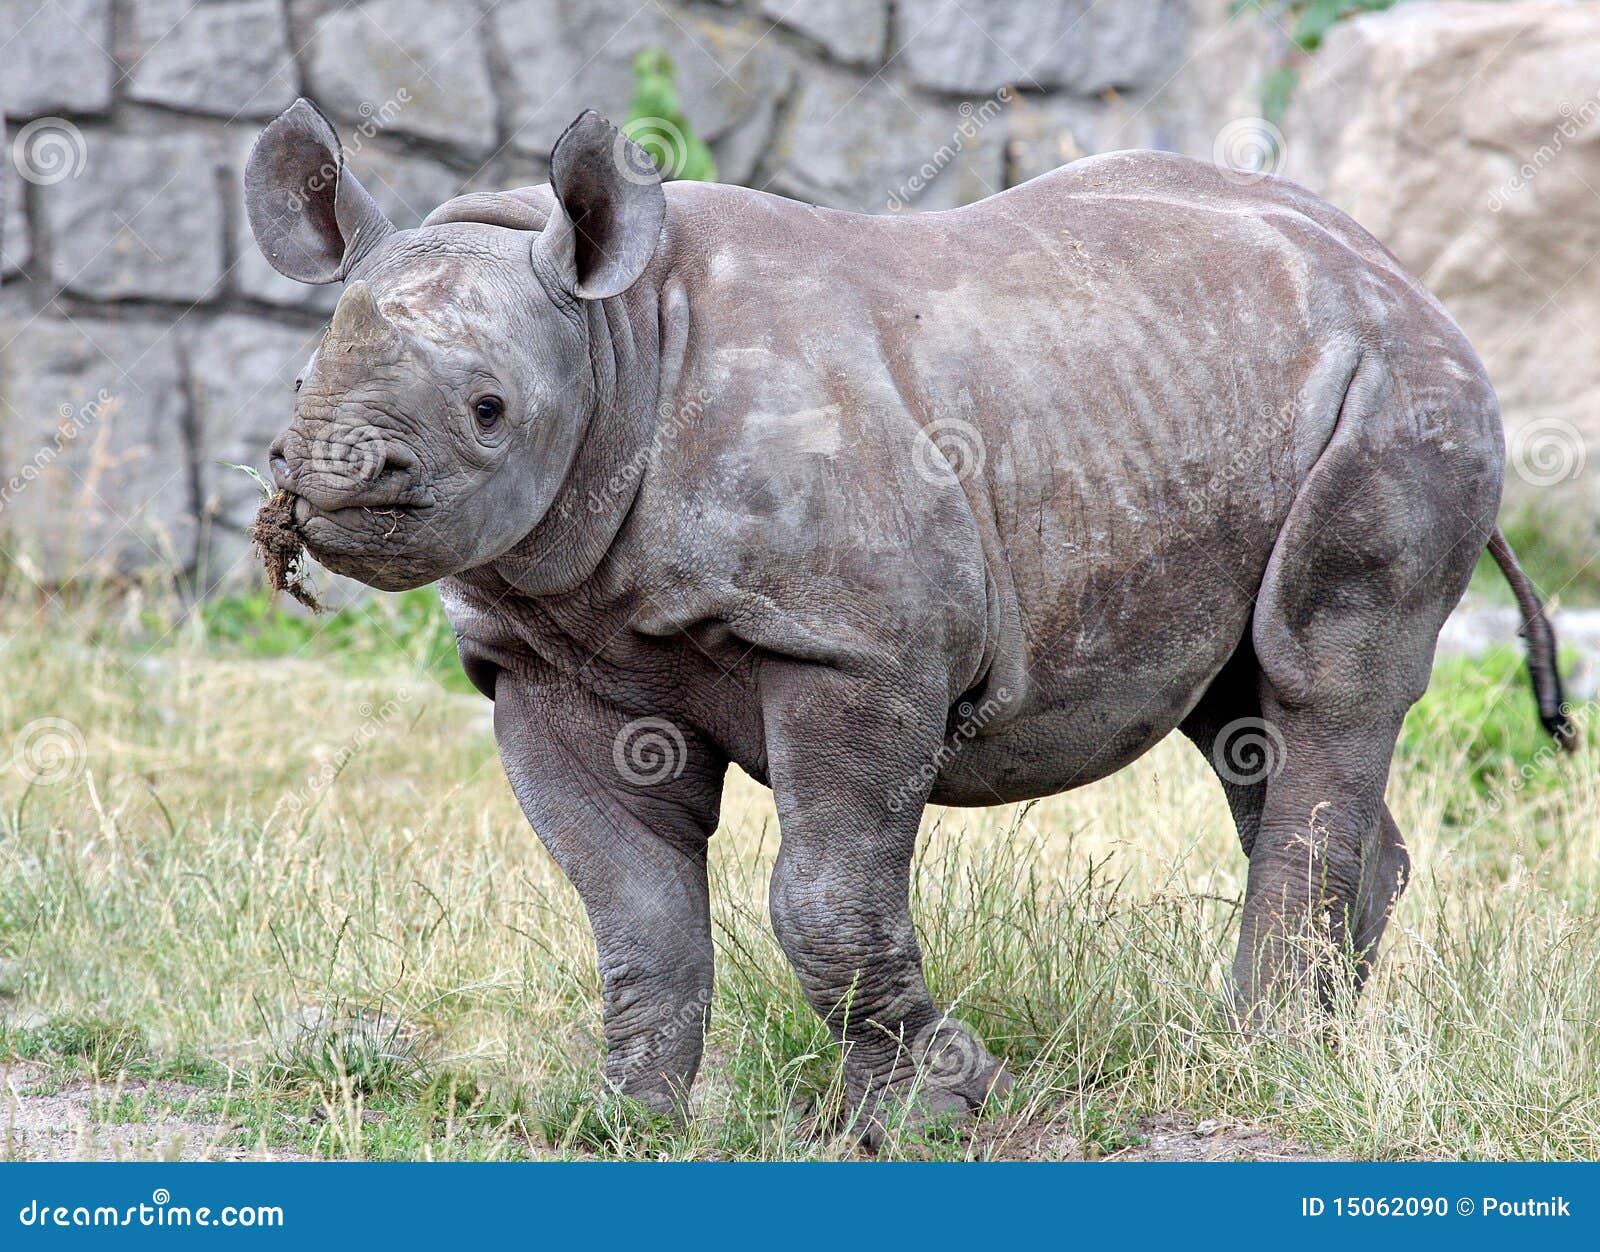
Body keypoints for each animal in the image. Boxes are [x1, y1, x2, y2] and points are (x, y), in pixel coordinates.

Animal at [245, 99, 1570, 1133]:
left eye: (488, 408)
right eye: (300, 376)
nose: (334, 472)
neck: (612, 339)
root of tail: (1404, 276)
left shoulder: (851, 647)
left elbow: (824, 897)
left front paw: (936, 1110)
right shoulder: (544, 657)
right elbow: (630, 901)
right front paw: (625, 1121)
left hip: (1401, 393)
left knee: (1320, 675)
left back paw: (1261, 1056)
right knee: (1244, 710)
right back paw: (1320, 1041)